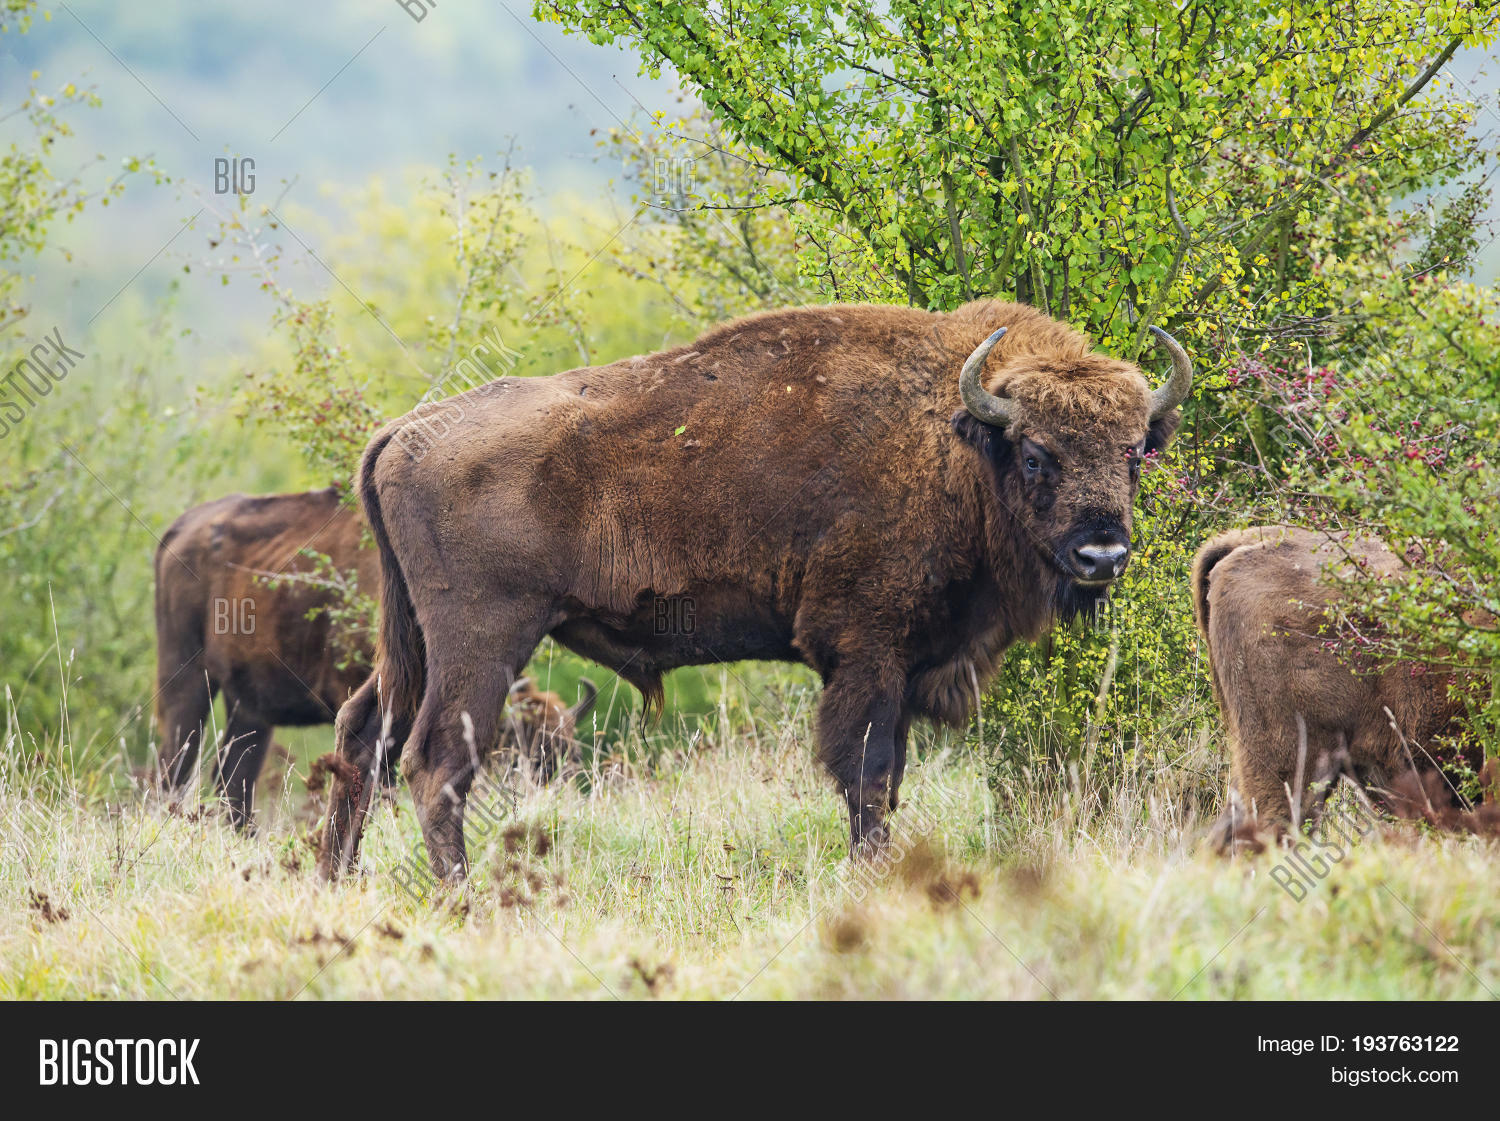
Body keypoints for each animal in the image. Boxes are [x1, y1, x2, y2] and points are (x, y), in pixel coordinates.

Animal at [319, 299, 1193, 880]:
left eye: (1133, 452)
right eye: (1038, 453)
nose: (1102, 552)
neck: (954, 440)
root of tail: (406, 431)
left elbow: (888, 776)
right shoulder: (867, 653)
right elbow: (869, 772)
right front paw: (872, 875)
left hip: (413, 641)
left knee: (363, 732)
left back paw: (336, 877)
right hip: (483, 642)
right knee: (435, 759)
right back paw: (460, 893)